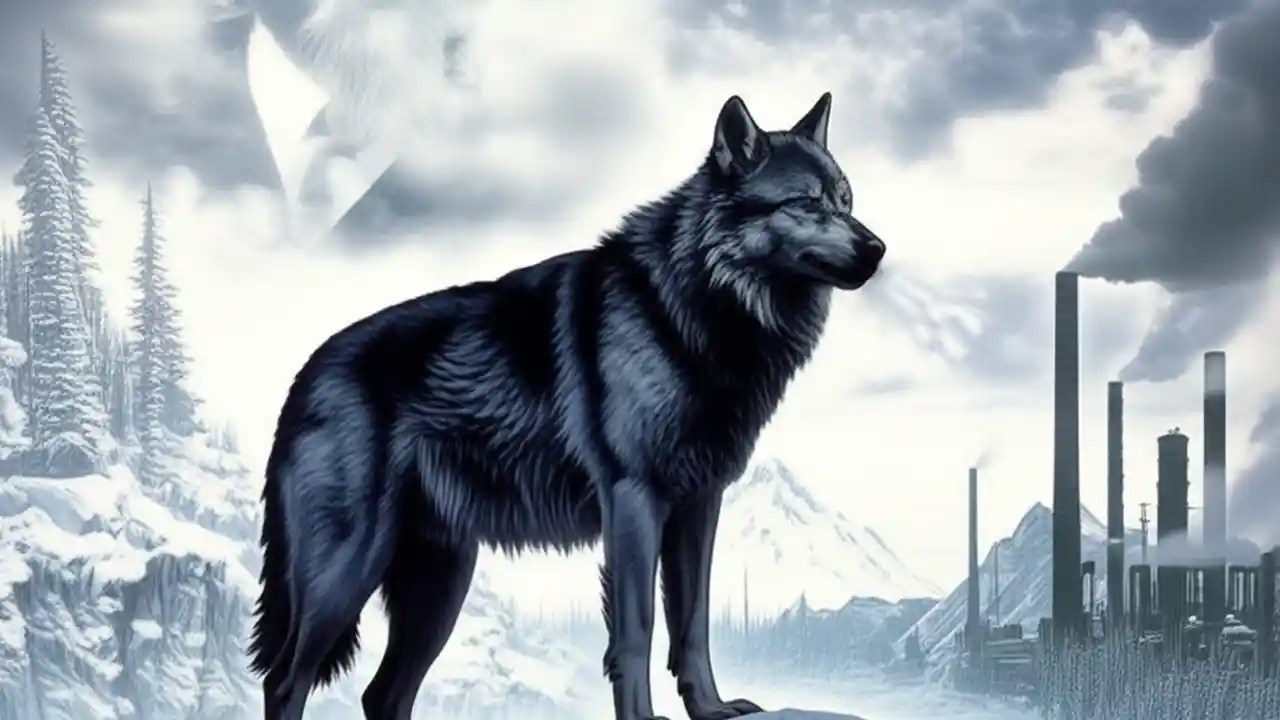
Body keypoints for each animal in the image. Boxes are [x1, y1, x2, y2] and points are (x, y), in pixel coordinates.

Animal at [248, 91, 886, 720]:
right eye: (807, 203)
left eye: (847, 201)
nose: (879, 249)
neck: (692, 306)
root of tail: (302, 376)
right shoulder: (633, 500)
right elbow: (637, 632)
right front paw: (643, 719)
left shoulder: (698, 505)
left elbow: (693, 626)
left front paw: (710, 708)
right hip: (347, 571)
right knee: (285, 681)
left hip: (440, 586)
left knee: (382, 694)